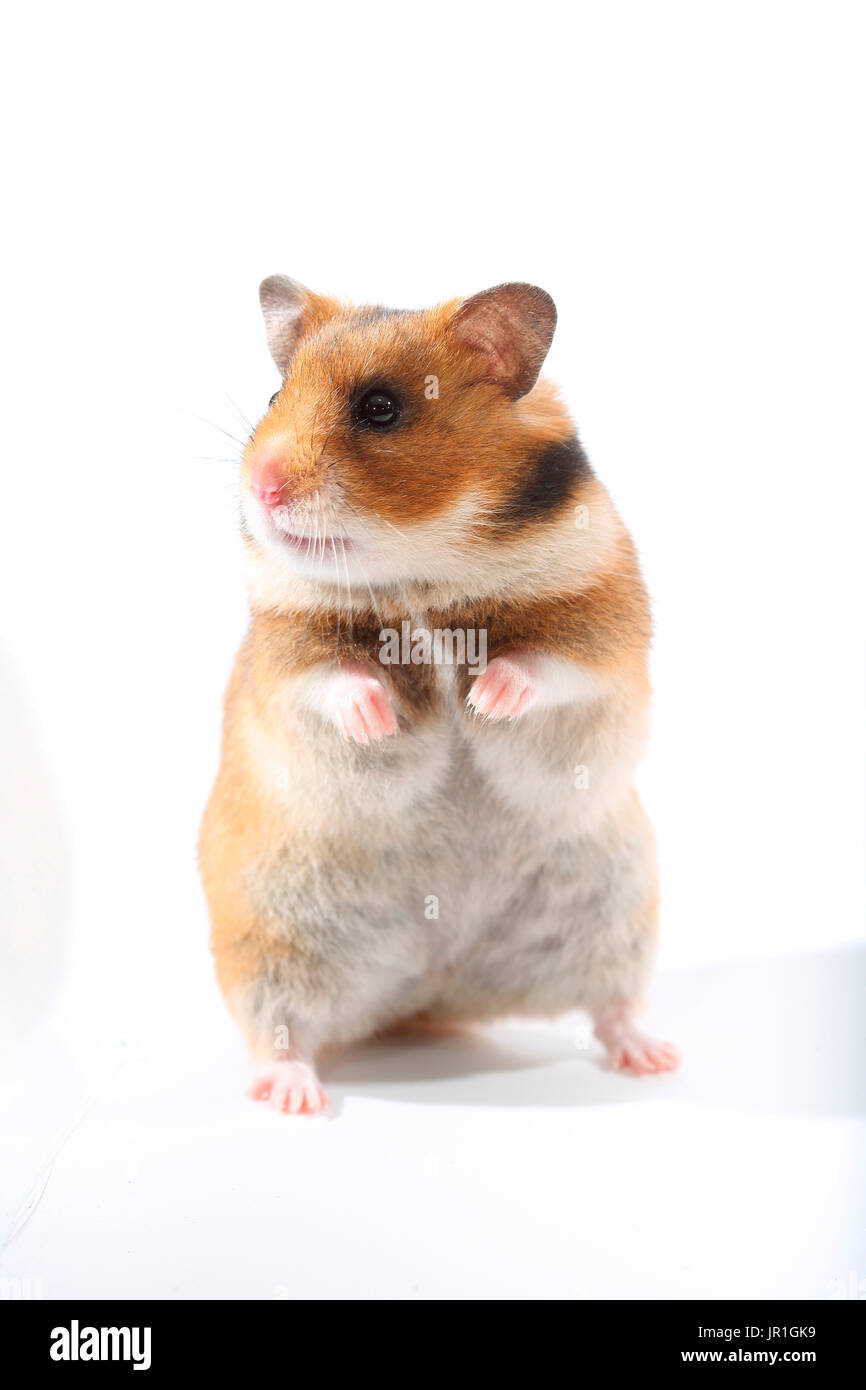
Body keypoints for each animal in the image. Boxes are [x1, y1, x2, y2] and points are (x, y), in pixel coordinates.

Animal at [198, 277, 679, 1115]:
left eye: (380, 408)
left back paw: (656, 1058)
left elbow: (545, 663)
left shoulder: (603, 622)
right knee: (281, 1030)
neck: (421, 566)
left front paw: (485, 701)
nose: (262, 488)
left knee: (613, 1004)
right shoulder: (288, 645)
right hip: (268, 940)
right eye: (274, 395)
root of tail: (430, 986)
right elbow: (335, 679)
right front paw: (380, 718)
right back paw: (295, 1097)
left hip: (616, 911)